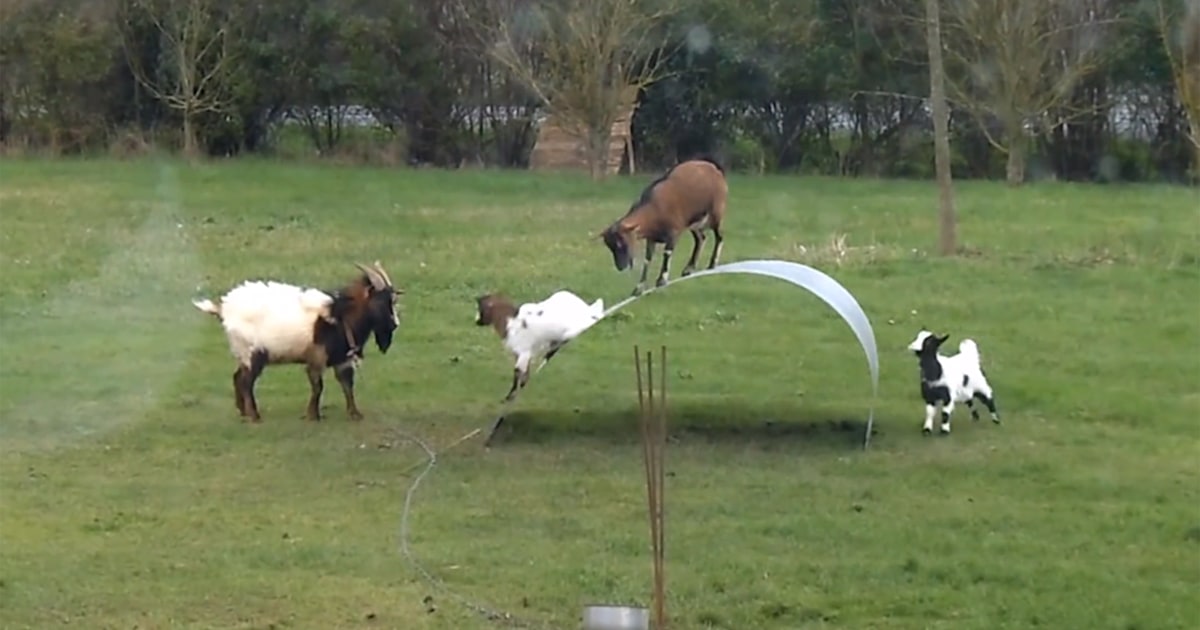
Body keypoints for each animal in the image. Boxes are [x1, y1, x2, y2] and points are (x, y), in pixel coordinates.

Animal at [193, 261, 402, 422]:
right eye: (382, 301)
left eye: (393, 300)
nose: (396, 324)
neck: (341, 315)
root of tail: (224, 308)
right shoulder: (317, 357)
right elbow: (318, 386)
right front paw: (313, 416)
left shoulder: (342, 359)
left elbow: (347, 384)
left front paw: (355, 414)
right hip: (254, 353)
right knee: (246, 382)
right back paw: (254, 416)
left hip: (243, 354)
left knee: (237, 377)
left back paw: (243, 412)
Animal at [597, 155, 729, 296]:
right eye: (610, 246)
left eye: (622, 243)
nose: (621, 267)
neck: (653, 209)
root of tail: (715, 169)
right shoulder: (651, 238)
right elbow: (647, 259)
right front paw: (639, 287)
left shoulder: (673, 232)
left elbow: (667, 253)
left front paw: (661, 280)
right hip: (693, 222)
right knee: (701, 238)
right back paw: (689, 269)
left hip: (716, 213)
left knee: (719, 236)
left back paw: (712, 263)